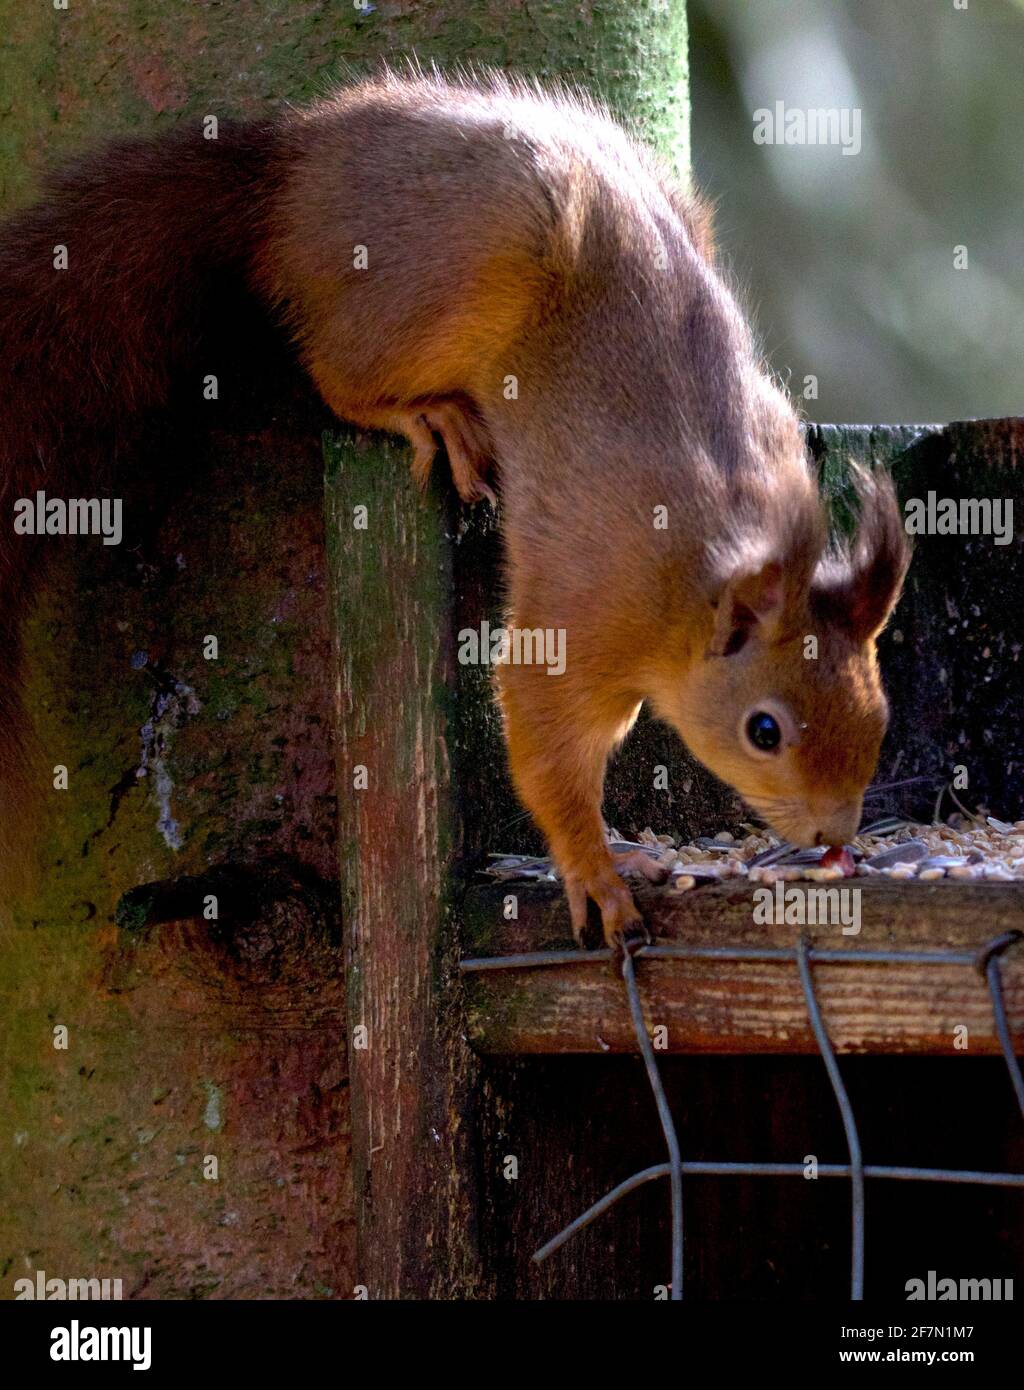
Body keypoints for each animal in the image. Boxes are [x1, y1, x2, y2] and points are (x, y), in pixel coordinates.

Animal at [0, 69, 909, 945]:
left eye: (881, 712)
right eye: (765, 731)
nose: (835, 837)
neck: (703, 579)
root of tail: (290, 170)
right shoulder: (590, 602)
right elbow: (543, 732)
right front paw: (595, 871)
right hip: (451, 275)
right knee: (334, 369)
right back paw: (424, 413)